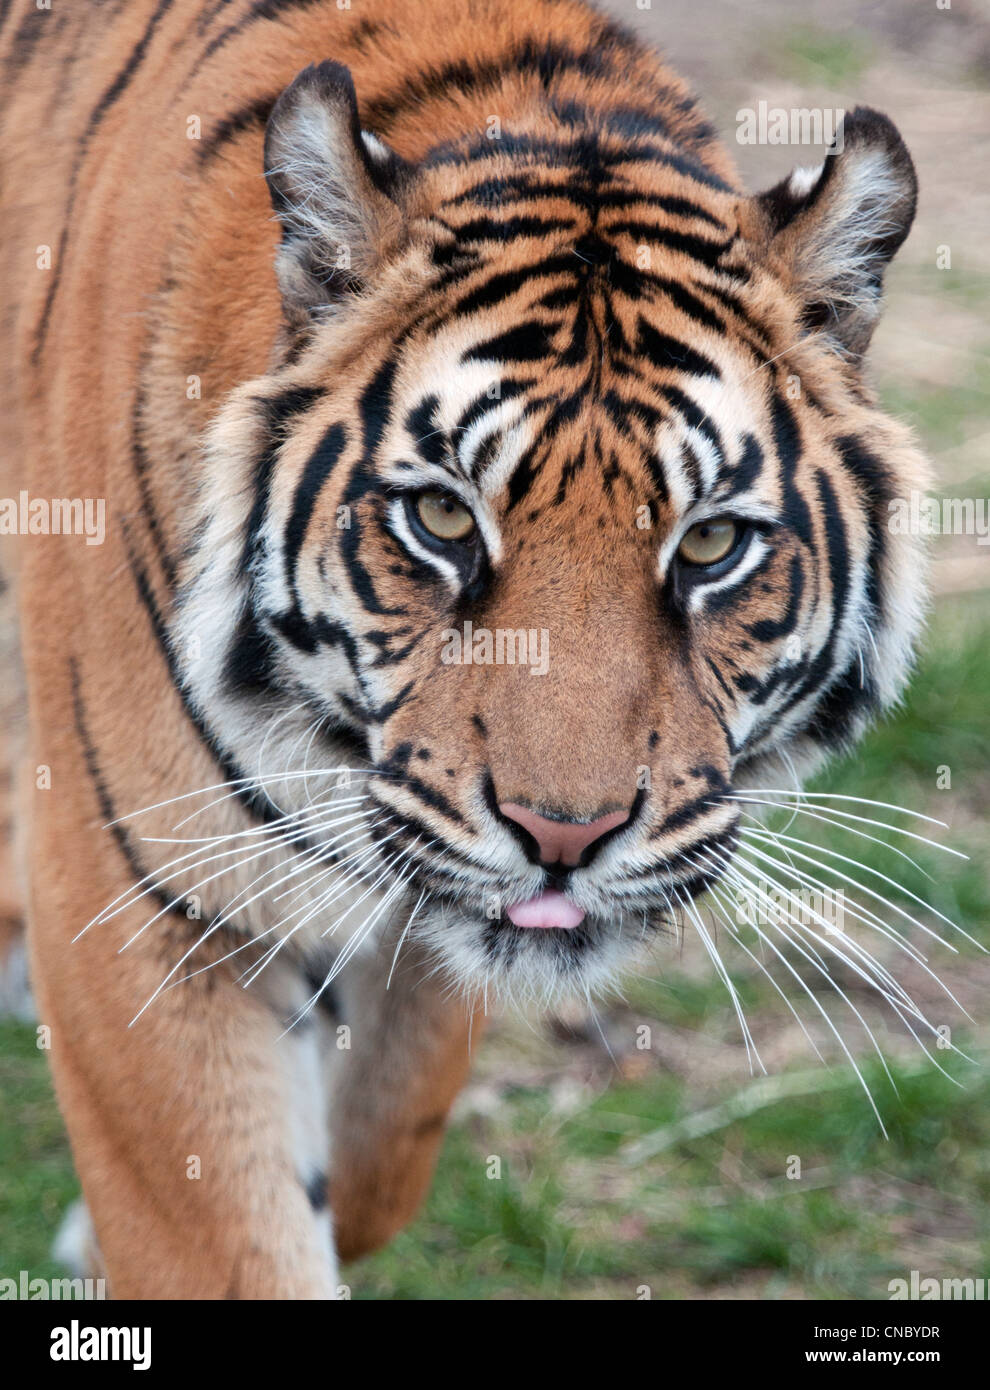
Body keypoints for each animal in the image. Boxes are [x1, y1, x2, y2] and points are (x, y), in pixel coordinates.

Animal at [0, 0, 930, 1298]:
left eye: (710, 543)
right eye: (442, 518)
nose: (566, 838)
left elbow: (384, 1142)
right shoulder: (147, 894)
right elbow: (225, 1231)